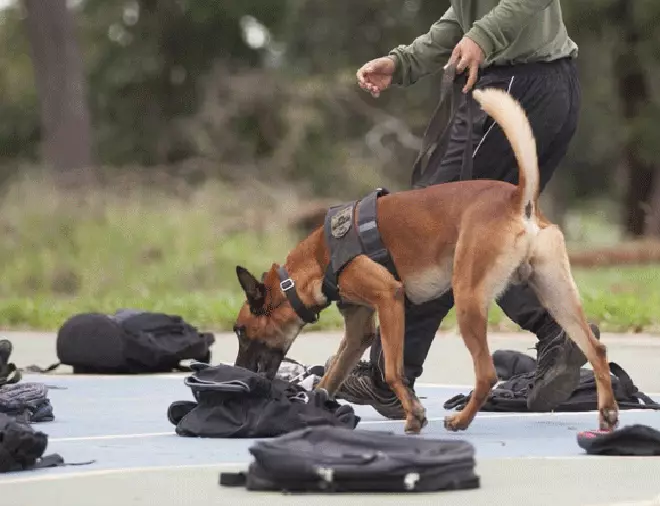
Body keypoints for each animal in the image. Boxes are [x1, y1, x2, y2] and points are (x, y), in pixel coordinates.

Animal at [232, 87, 620, 434]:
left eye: (240, 331)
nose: (239, 373)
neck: (315, 261)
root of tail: (517, 200)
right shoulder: (359, 329)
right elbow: (333, 373)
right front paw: (320, 403)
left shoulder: (389, 299)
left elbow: (392, 369)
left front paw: (414, 415)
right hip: (555, 294)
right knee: (596, 348)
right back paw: (606, 412)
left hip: (467, 299)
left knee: (487, 374)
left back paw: (461, 420)